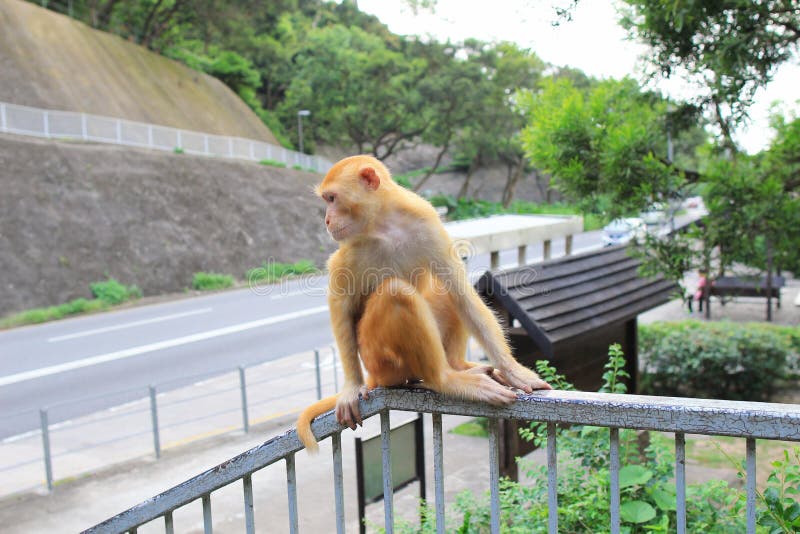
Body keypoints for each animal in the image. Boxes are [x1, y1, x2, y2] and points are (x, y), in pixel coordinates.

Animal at [296, 155, 551, 452]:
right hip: (380, 359)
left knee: (444, 290)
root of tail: (376, 377)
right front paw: (351, 387)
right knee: (397, 293)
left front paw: (515, 372)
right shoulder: (350, 245)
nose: (327, 220)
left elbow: (460, 291)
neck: (384, 225)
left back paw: (457, 366)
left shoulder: (426, 220)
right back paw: (445, 380)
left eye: (332, 198)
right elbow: (341, 302)